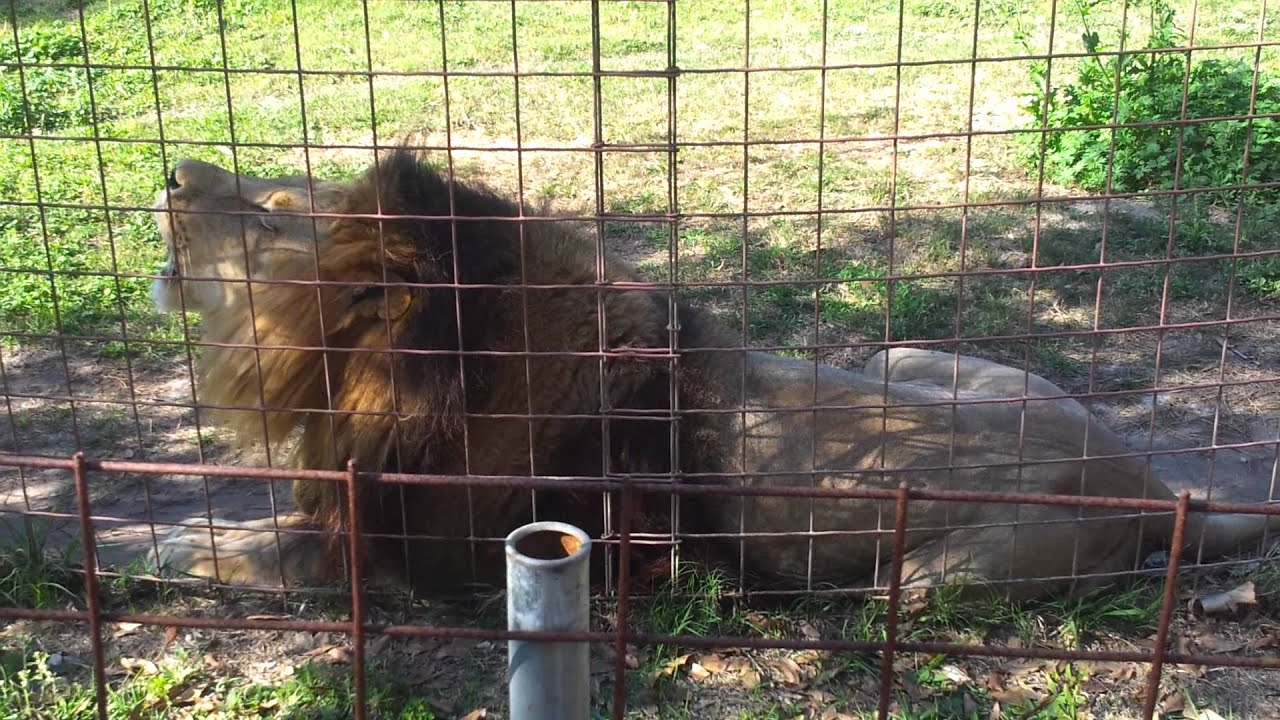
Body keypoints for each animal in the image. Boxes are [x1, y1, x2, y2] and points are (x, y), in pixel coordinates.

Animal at [147, 152, 1279, 601]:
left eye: (270, 210)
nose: (173, 173)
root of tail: (1145, 478)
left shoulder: (434, 558)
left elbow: (253, 549)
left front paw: (162, 539)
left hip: (933, 578)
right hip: (915, 360)